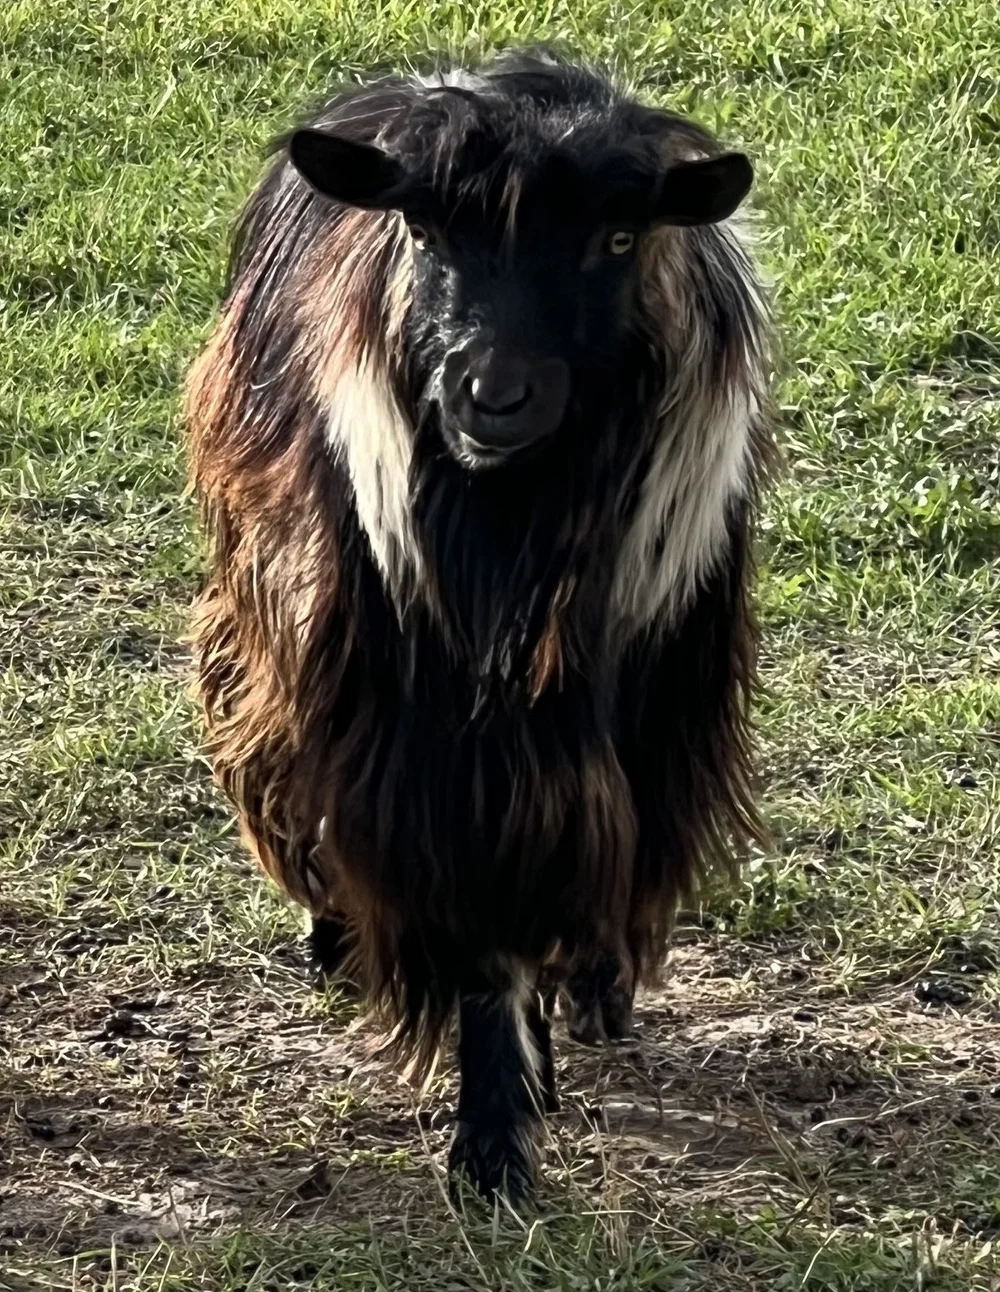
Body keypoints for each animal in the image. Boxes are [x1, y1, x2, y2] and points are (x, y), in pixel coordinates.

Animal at [184, 48, 773, 1203]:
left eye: (619, 238)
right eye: (424, 234)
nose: (491, 396)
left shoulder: (651, 695)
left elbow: (598, 849)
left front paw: (586, 999)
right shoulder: (424, 711)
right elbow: (484, 900)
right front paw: (496, 1141)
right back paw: (334, 933)